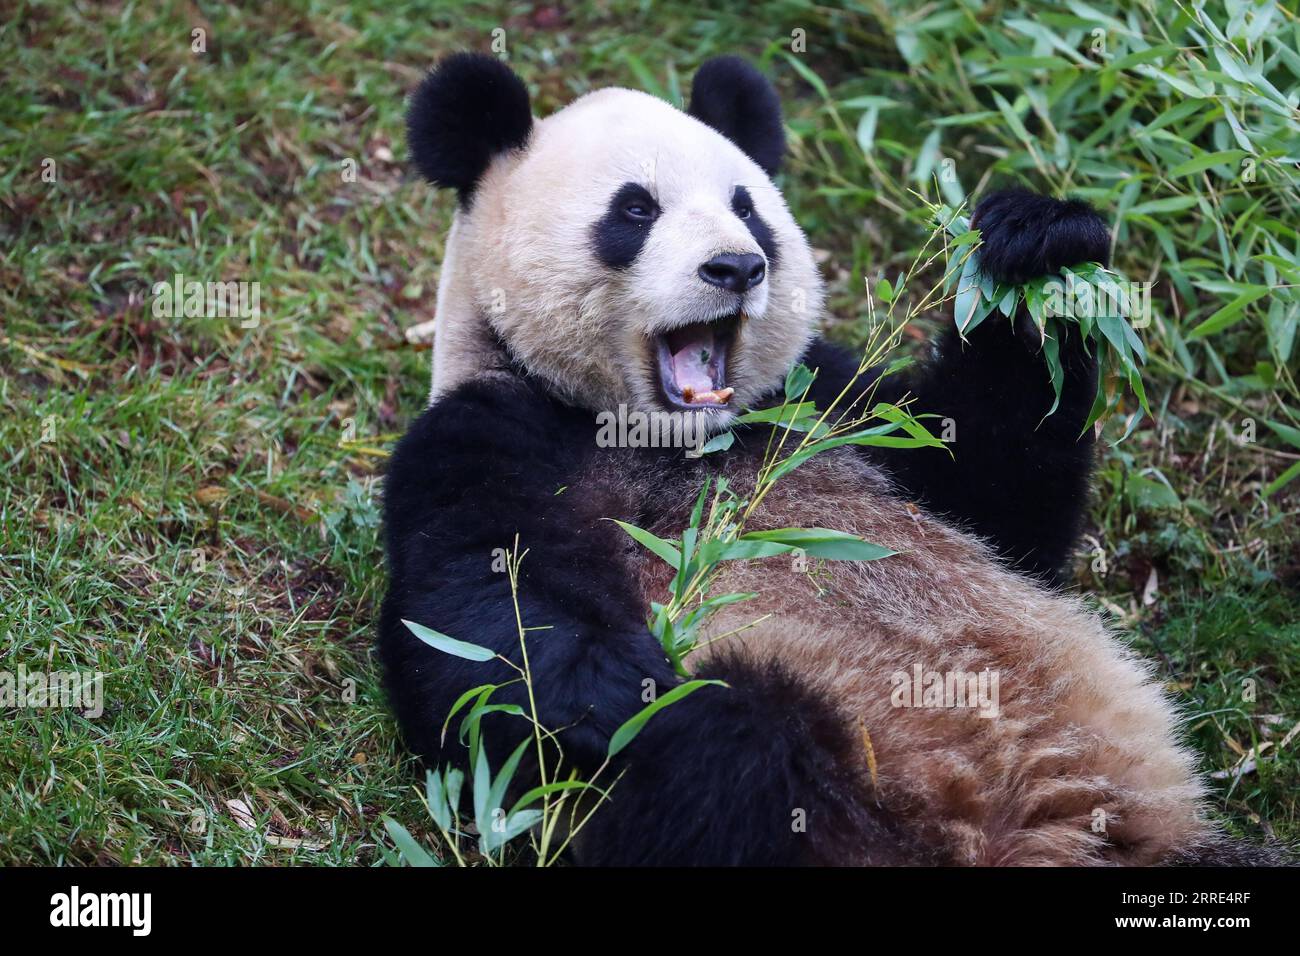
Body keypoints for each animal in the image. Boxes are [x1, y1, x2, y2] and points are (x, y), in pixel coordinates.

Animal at [379, 52, 1280, 866]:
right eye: (634, 209)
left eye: (748, 209)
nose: (737, 267)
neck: (671, 437)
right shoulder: (488, 430)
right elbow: (469, 616)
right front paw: (620, 684)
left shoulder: (827, 403)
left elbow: (997, 498)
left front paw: (1036, 255)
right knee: (731, 753)